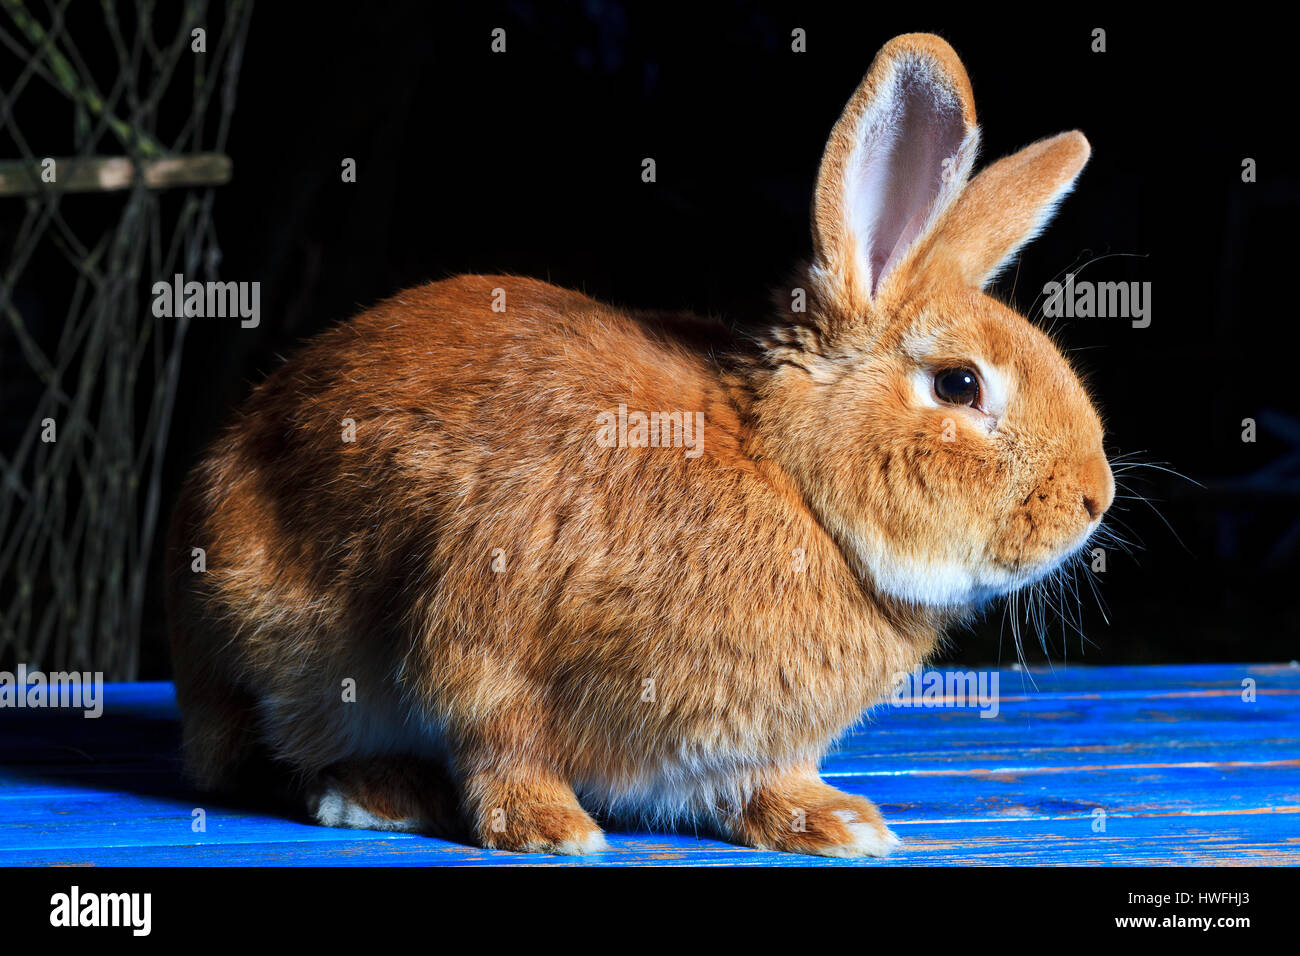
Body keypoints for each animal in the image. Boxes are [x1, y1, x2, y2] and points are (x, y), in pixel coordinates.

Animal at [165, 32, 1112, 858]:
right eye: (959, 386)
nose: (1093, 500)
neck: (788, 480)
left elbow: (758, 785)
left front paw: (836, 825)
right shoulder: (479, 635)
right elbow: (500, 745)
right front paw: (551, 831)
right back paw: (375, 793)